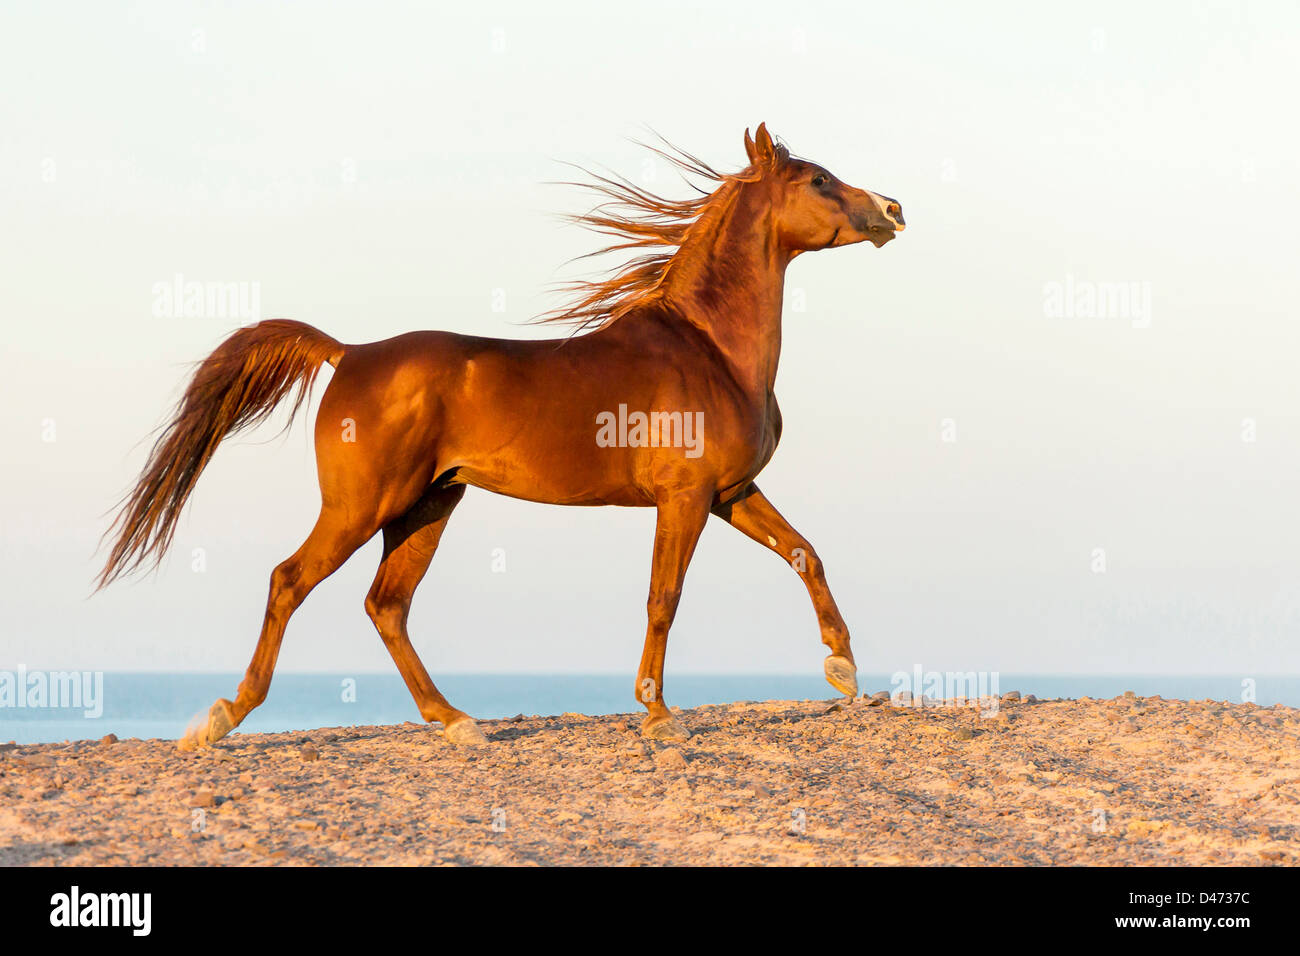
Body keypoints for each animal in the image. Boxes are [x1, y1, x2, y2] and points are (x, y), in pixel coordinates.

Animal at [98, 123, 905, 748]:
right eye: (819, 179)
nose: (893, 209)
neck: (708, 347)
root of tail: (349, 353)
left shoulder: (731, 492)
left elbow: (805, 553)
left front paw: (842, 669)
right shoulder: (686, 497)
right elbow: (663, 597)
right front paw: (658, 715)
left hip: (427, 507)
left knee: (387, 605)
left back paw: (455, 721)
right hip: (363, 507)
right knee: (290, 581)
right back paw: (222, 718)